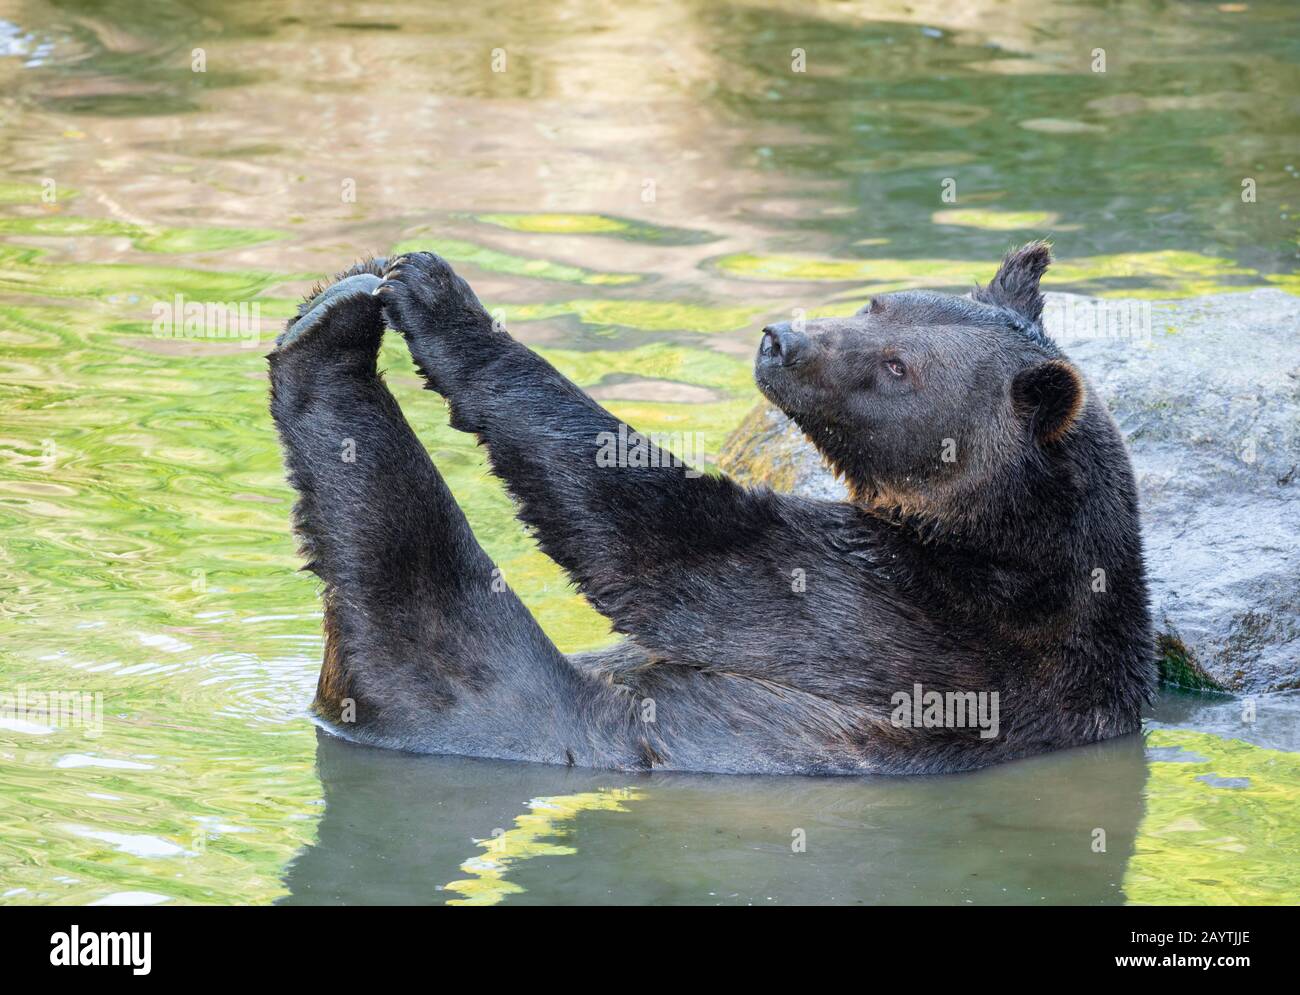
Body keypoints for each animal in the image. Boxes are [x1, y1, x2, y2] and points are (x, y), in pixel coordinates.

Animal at [267, 242, 1155, 775]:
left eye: (899, 367)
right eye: (877, 302)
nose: (782, 340)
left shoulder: (912, 619)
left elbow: (661, 541)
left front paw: (439, 299)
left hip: (488, 699)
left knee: (409, 587)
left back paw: (328, 337)